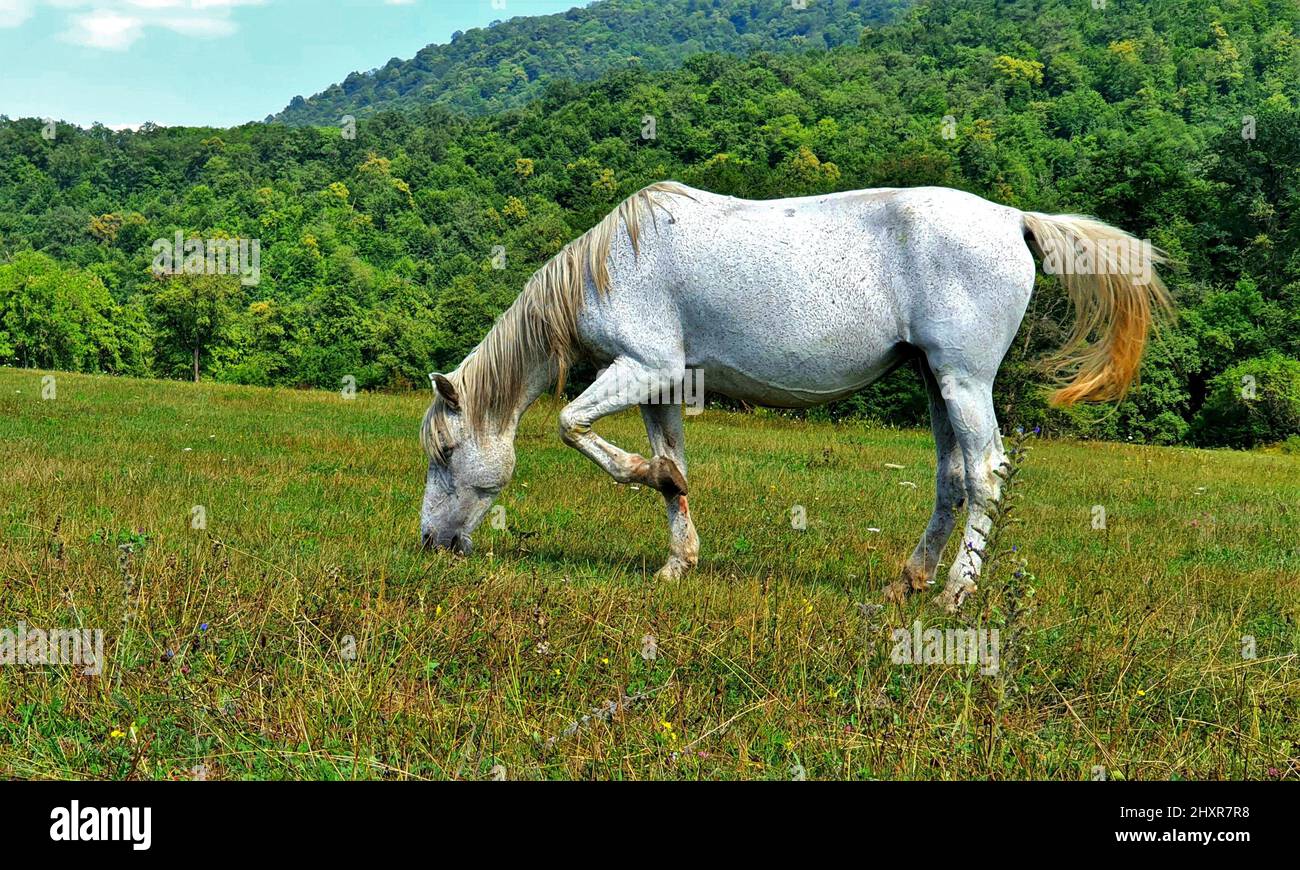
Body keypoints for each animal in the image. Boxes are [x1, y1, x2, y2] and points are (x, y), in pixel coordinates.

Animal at [419, 182, 1170, 611]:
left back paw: (956, 593)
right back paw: (910, 580)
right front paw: (677, 557)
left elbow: (572, 425)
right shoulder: (664, 381)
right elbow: (672, 472)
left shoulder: (643, 366)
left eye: (446, 451)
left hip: (964, 380)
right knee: (952, 481)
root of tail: (1014, 219)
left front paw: (648, 481)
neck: (615, 261)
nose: (431, 542)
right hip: (936, 382)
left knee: (985, 477)